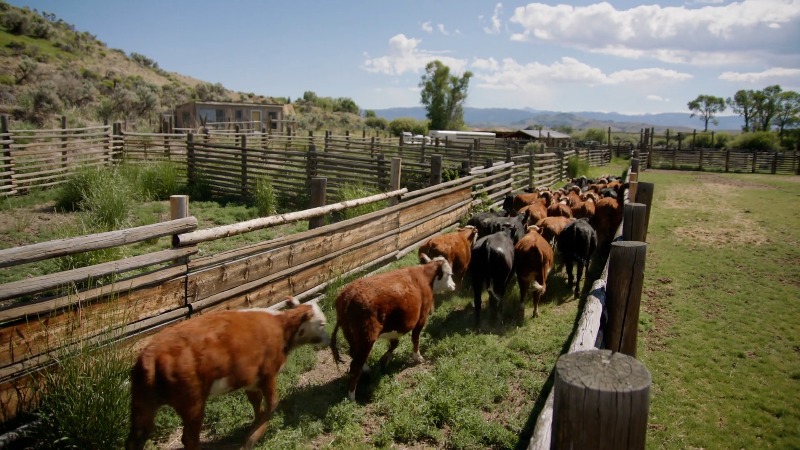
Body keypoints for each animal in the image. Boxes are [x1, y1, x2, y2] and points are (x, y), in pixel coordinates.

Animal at [125, 298, 329, 450]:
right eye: (321, 323)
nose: (328, 339)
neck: (281, 327)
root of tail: (152, 353)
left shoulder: (251, 379)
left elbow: (256, 402)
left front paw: (253, 427)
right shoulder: (268, 374)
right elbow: (272, 404)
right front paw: (253, 438)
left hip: (143, 402)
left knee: (137, 437)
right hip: (192, 403)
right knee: (189, 439)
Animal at [330, 256, 456, 401]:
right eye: (449, 274)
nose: (454, 286)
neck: (425, 277)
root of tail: (348, 295)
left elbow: (394, 344)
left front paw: (385, 359)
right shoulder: (421, 318)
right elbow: (415, 338)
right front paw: (417, 357)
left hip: (351, 335)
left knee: (354, 354)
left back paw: (366, 370)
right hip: (367, 337)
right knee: (356, 364)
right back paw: (351, 396)